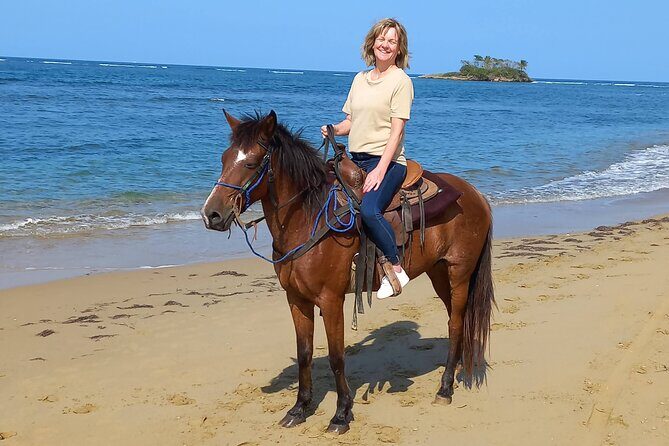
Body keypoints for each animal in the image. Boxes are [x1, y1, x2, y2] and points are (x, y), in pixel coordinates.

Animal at [201, 110, 494, 434]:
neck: (308, 218)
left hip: (459, 274)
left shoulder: (331, 300)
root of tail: (476, 194)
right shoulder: (296, 299)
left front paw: (341, 414)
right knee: (456, 321)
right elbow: (304, 354)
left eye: (251, 163)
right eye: (224, 158)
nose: (211, 214)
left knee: (456, 323)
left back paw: (444, 388)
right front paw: (299, 408)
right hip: (439, 273)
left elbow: (336, 357)